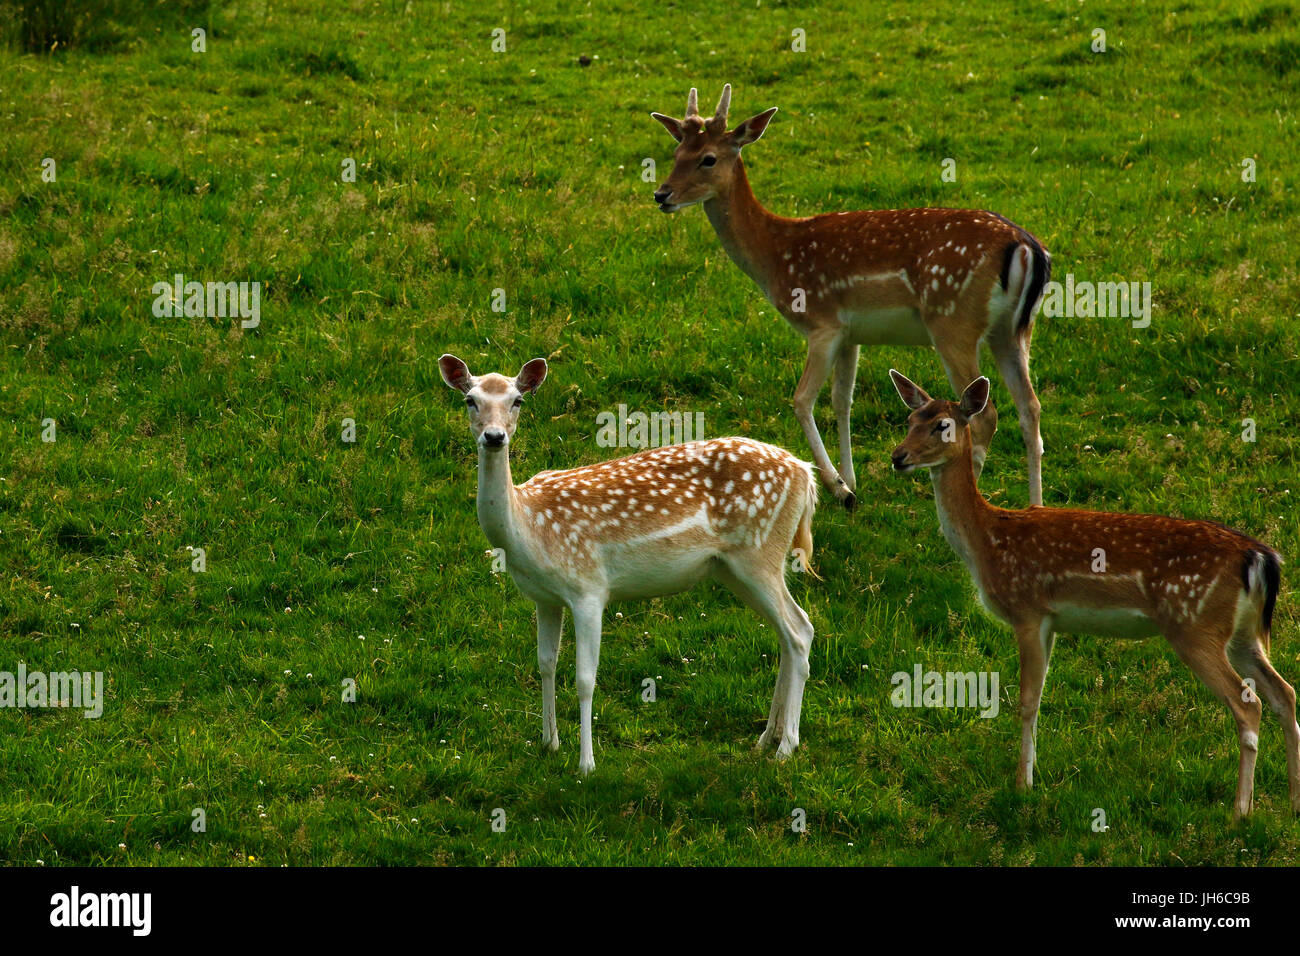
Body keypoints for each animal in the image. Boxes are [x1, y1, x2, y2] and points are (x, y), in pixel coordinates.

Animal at [440, 353, 820, 775]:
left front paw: (586, 764)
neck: (528, 529)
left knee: (800, 631)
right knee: (787, 634)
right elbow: (545, 663)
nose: (494, 437)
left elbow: (584, 678)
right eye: (470, 400)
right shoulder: (544, 597)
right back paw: (765, 739)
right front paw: (549, 743)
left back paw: (787, 746)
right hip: (736, 567)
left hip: (760, 554)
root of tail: (806, 474)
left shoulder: (588, 588)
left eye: (517, 401)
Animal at [650, 84, 1053, 509]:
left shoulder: (822, 322)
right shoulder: (850, 333)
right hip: (1012, 330)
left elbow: (802, 399)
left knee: (985, 412)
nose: (661, 194)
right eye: (677, 153)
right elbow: (842, 400)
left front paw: (837, 487)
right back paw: (1036, 504)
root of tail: (1028, 248)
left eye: (708, 158)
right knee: (1030, 407)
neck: (775, 255)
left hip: (953, 321)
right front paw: (852, 480)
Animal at [887, 369, 1299, 817]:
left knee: (1249, 704)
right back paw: (1293, 800)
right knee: (1285, 694)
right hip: (1241, 632)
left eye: (942, 425)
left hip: (1195, 624)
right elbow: (1040, 696)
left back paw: (1241, 811)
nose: (898, 457)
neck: (987, 539)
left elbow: (1026, 700)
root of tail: (1258, 556)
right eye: (909, 420)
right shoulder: (1051, 621)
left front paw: (1021, 786)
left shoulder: (1027, 609)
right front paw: (1032, 776)